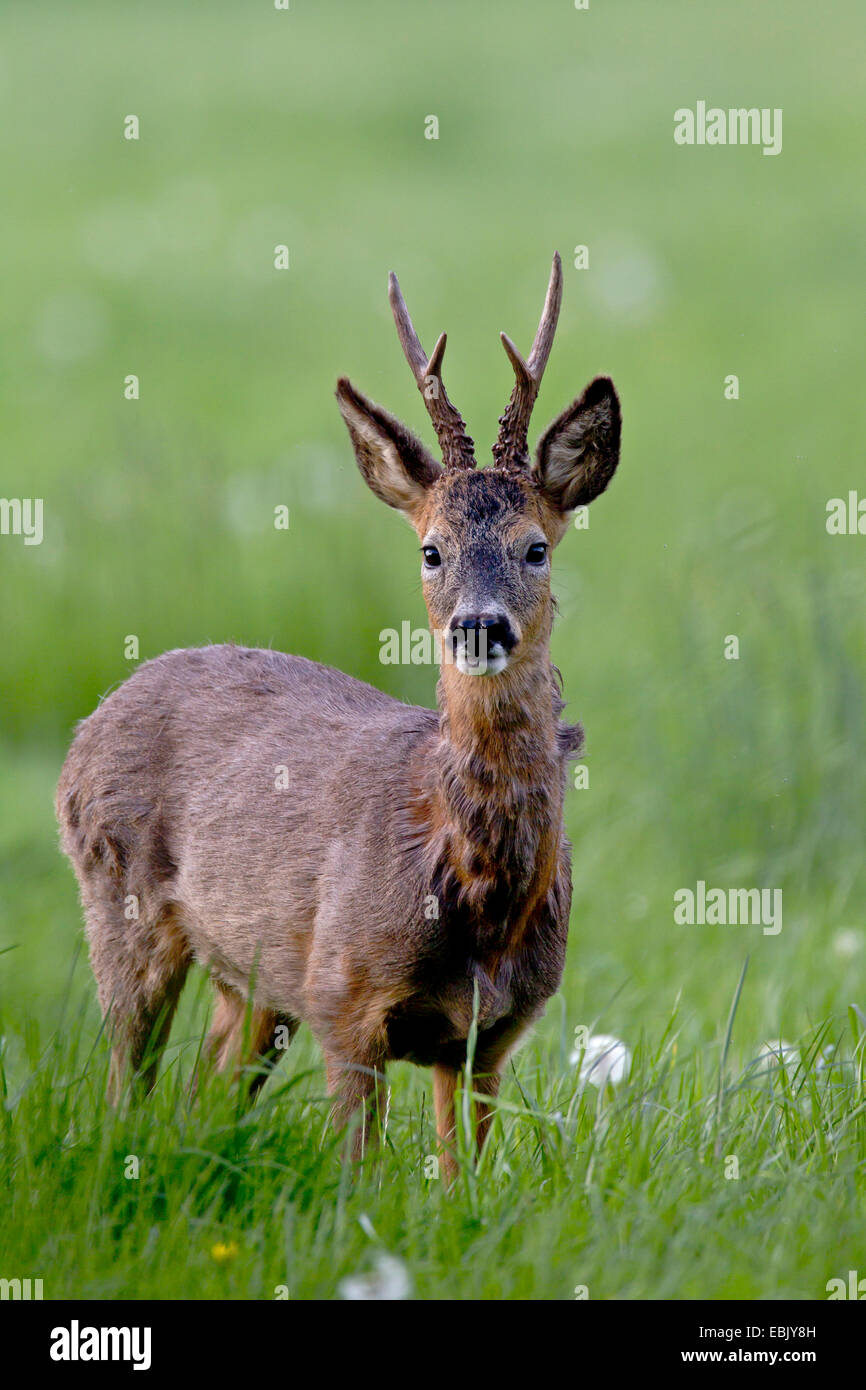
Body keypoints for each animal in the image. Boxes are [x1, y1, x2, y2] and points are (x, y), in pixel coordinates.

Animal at [56, 253, 621, 1181]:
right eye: (431, 549)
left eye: (536, 547)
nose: (479, 625)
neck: (472, 891)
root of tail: (94, 719)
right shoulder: (344, 999)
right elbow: (357, 1169)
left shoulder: (490, 1039)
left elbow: (463, 1183)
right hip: (118, 893)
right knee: (125, 1088)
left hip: (251, 976)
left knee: (205, 1089)